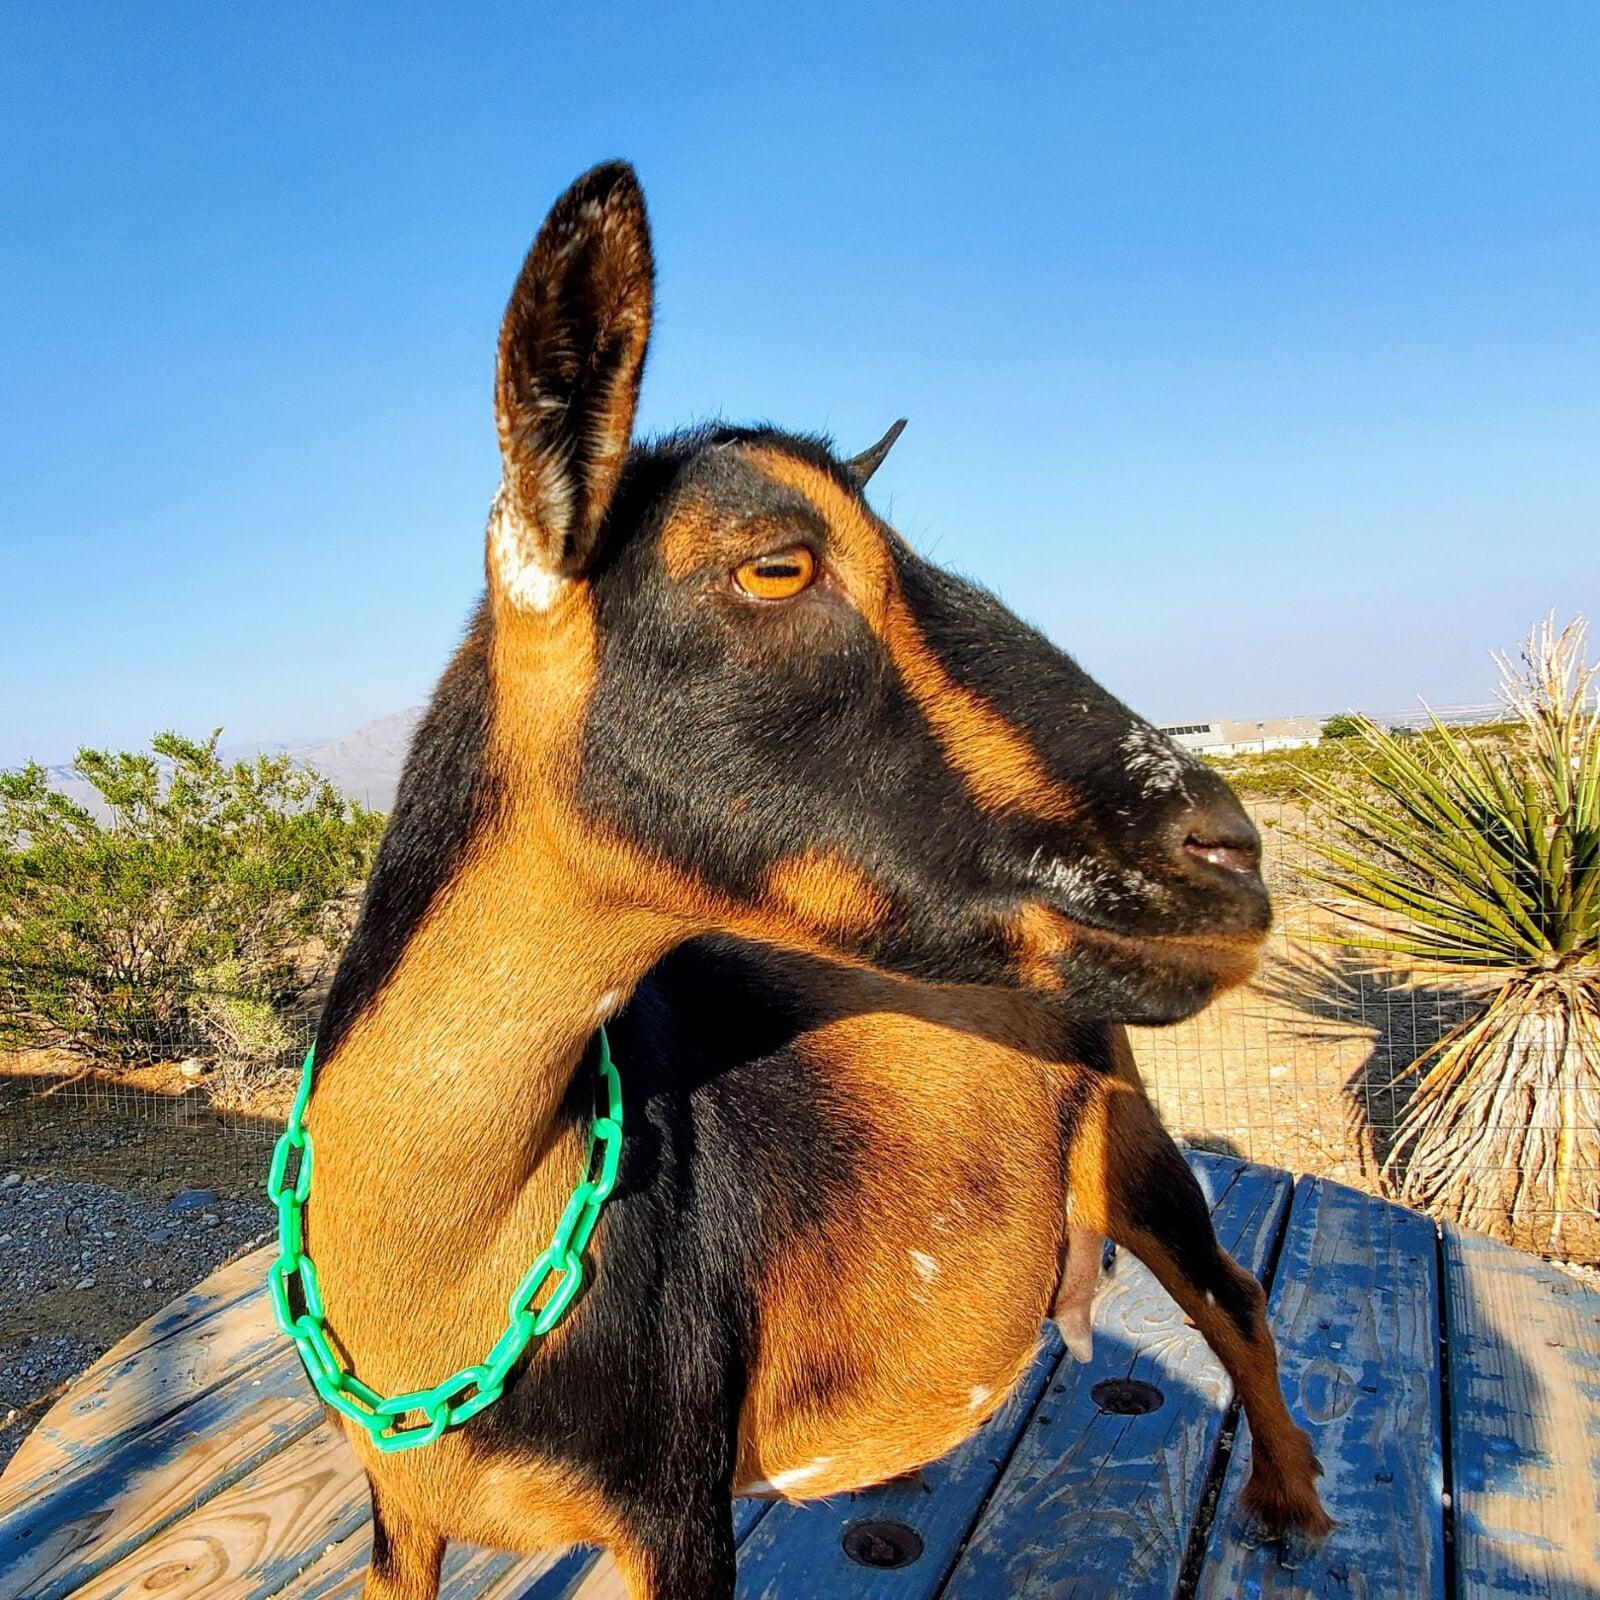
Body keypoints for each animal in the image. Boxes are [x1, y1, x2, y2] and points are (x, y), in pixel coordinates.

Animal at [301, 161, 1332, 1600]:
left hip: (1135, 1128)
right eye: (777, 562)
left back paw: (1291, 1500)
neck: (448, 1268)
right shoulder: (395, 1513)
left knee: (1229, 1293)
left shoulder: (676, 1506)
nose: (1226, 854)